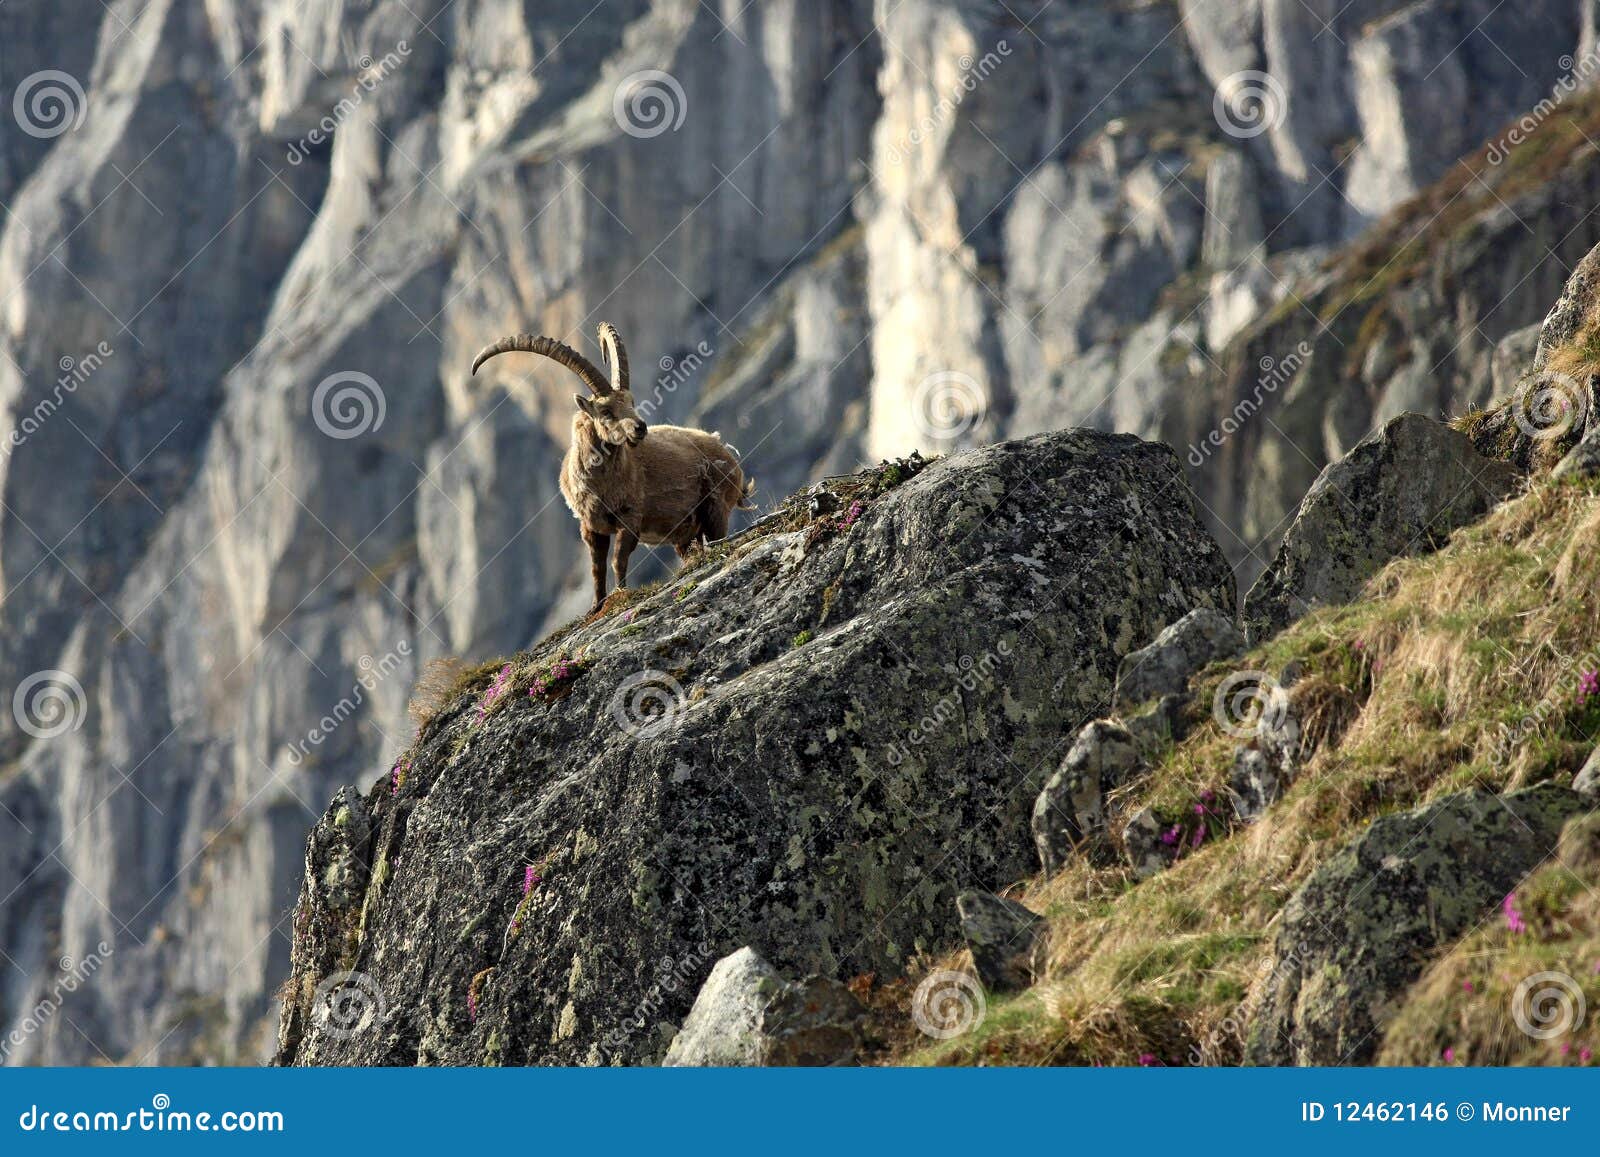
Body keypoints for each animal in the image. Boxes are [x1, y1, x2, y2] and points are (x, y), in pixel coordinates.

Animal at [472, 323, 753, 613]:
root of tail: (727, 453)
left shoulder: (629, 518)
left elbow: (618, 560)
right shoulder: (590, 526)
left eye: (631, 402)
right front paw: (595, 607)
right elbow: (596, 568)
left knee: (717, 535)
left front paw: (621, 595)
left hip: (715, 509)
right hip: (685, 533)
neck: (601, 485)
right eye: (606, 411)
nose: (640, 428)